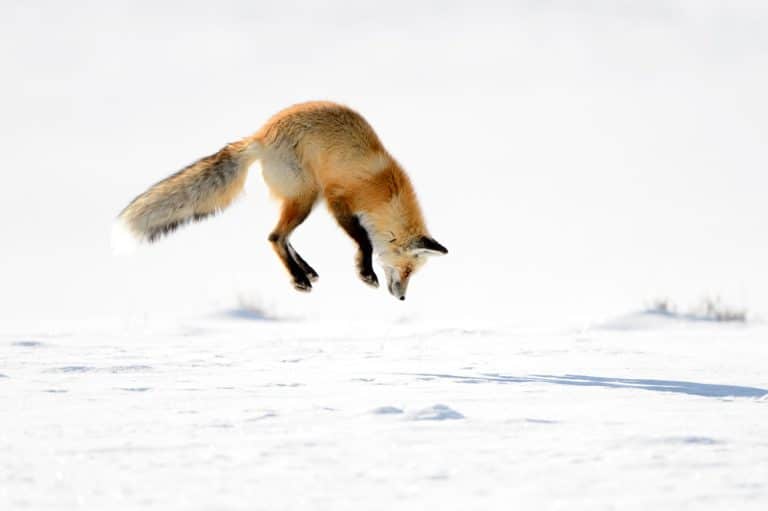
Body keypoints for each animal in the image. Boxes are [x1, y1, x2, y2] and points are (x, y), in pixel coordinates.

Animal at [115, 101, 447, 300]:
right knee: (275, 237)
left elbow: (363, 240)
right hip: (307, 196)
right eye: (407, 270)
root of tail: (261, 135)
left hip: (304, 198)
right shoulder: (338, 200)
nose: (402, 297)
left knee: (283, 237)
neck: (384, 192)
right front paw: (366, 273)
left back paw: (305, 272)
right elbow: (364, 241)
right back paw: (300, 278)